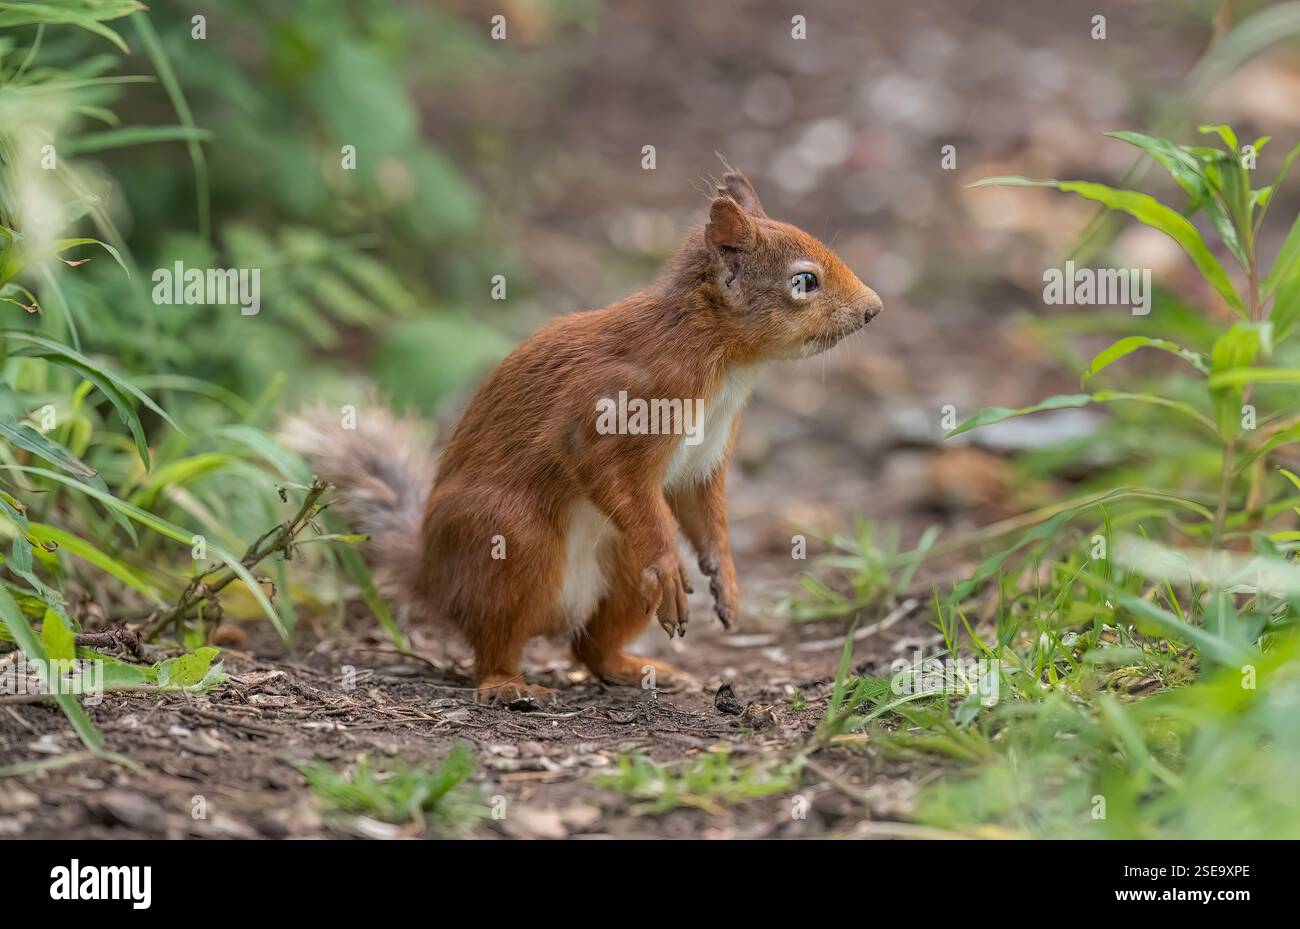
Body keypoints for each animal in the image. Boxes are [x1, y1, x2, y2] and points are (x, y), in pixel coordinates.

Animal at [286, 170, 881, 705]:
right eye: (804, 281)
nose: (874, 308)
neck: (721, 358)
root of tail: (432, 576)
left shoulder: (706, 455)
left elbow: (703, 509)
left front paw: (726, 581)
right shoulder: (617, 407)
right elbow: (601, 467)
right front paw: (672, 564)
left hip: (619, 568)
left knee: (590, 647)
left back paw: (635, 668)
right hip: (511, 540)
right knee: (495, 641)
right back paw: (507, 684)